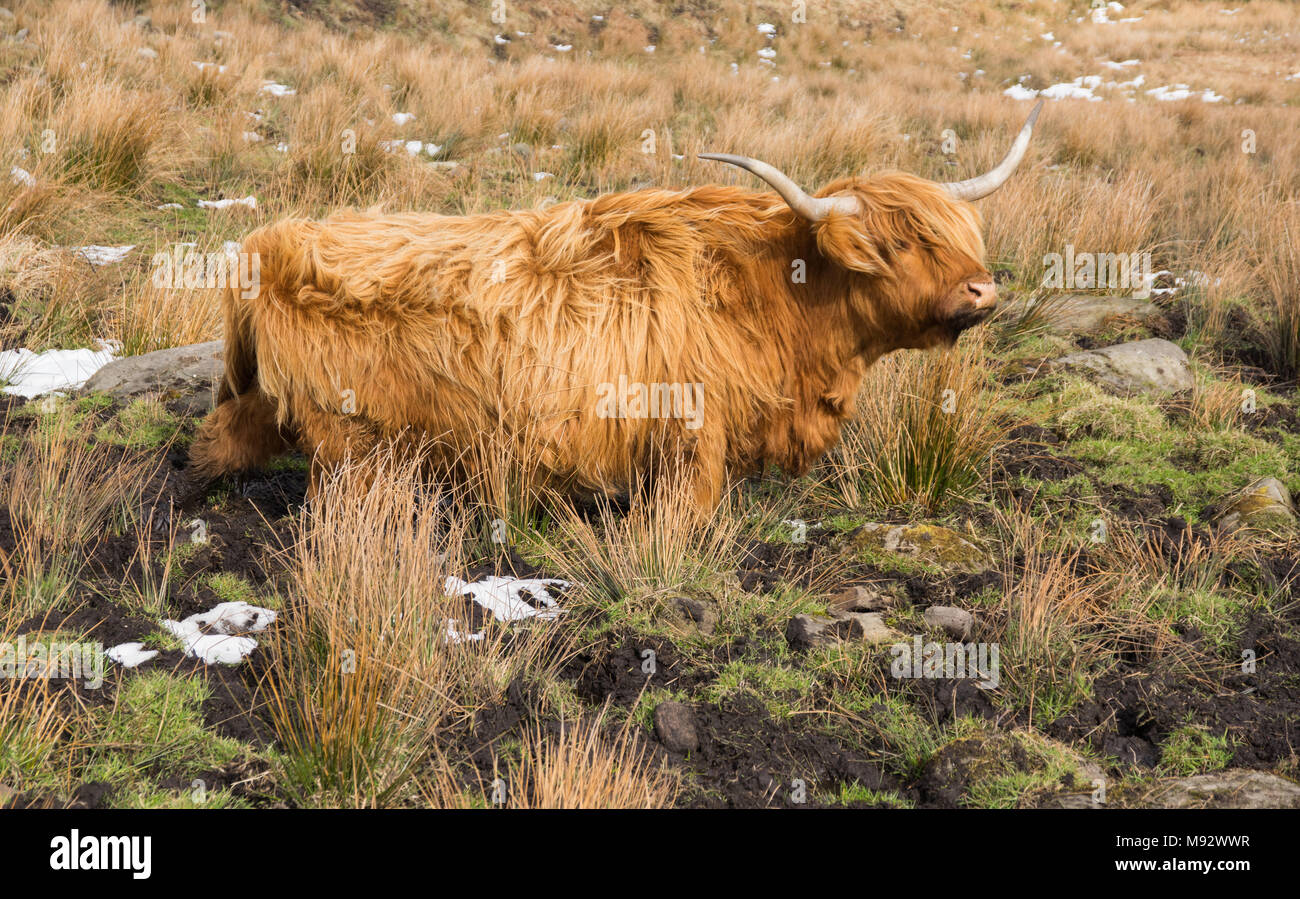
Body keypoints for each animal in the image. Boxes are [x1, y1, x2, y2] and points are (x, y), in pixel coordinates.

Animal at [188, 102, 1043, 510]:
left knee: (221, 435)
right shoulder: (693, 427)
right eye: (895, 244)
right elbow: (691, 508)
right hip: (353, 438)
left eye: (952, 234)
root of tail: (268, 246)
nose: (983, 289)